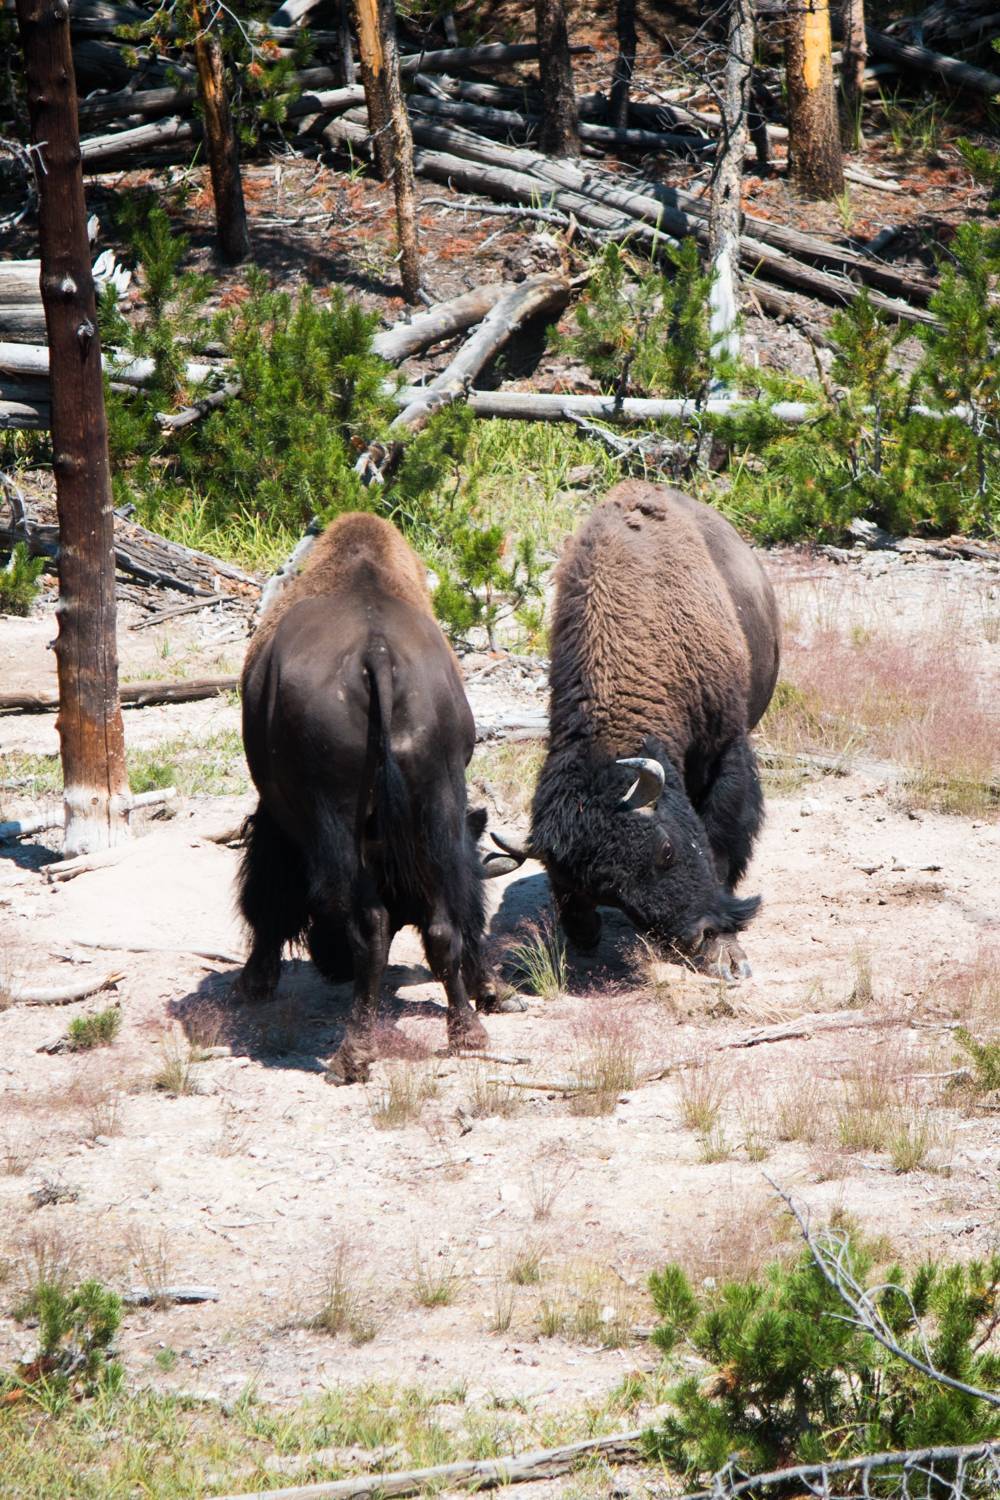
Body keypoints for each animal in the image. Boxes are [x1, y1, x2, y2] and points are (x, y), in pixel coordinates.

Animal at [236, 512, 514, 1082]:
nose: (331, 966)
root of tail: (377, 655)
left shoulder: (277, 817)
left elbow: (266, 890)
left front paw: (255, 980)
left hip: (335, 816)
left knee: (370, 927)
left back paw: (352, 1056)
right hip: (439, 804)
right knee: (443, 920)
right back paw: (468, 1033)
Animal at [498, 481, 780, 979]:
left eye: (665, 851)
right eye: (610, 894)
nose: (696, 934)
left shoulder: (725, 749)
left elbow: (721, 841)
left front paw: (727, 953)